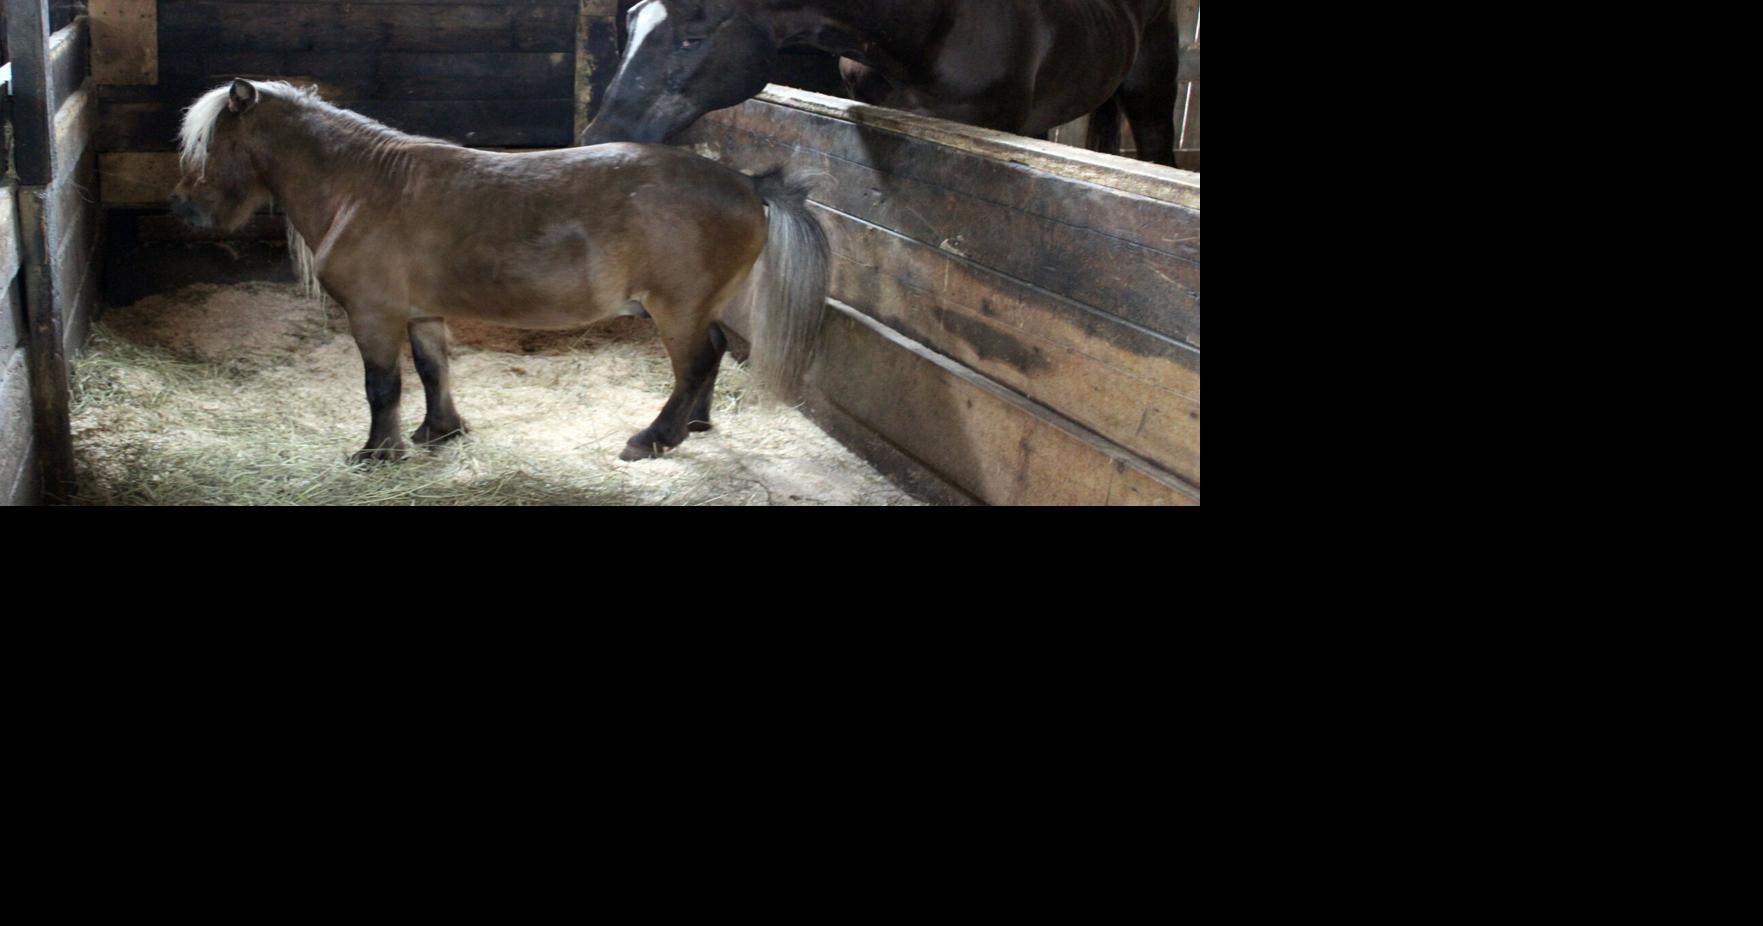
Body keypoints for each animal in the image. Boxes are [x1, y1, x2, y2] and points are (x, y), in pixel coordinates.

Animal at [171, 79, 829, 464]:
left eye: (211, 144)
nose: (185, 209)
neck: (363, 187)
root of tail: (746, 182)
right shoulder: (421, 314)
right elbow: (433, 373)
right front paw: (439, 433)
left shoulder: (373, 316)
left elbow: (382, 388)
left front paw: (378, 453)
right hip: (697, 309)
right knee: (713, 355)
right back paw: (694, 424)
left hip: (677, 310)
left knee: (694, 364)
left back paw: (654, 439)